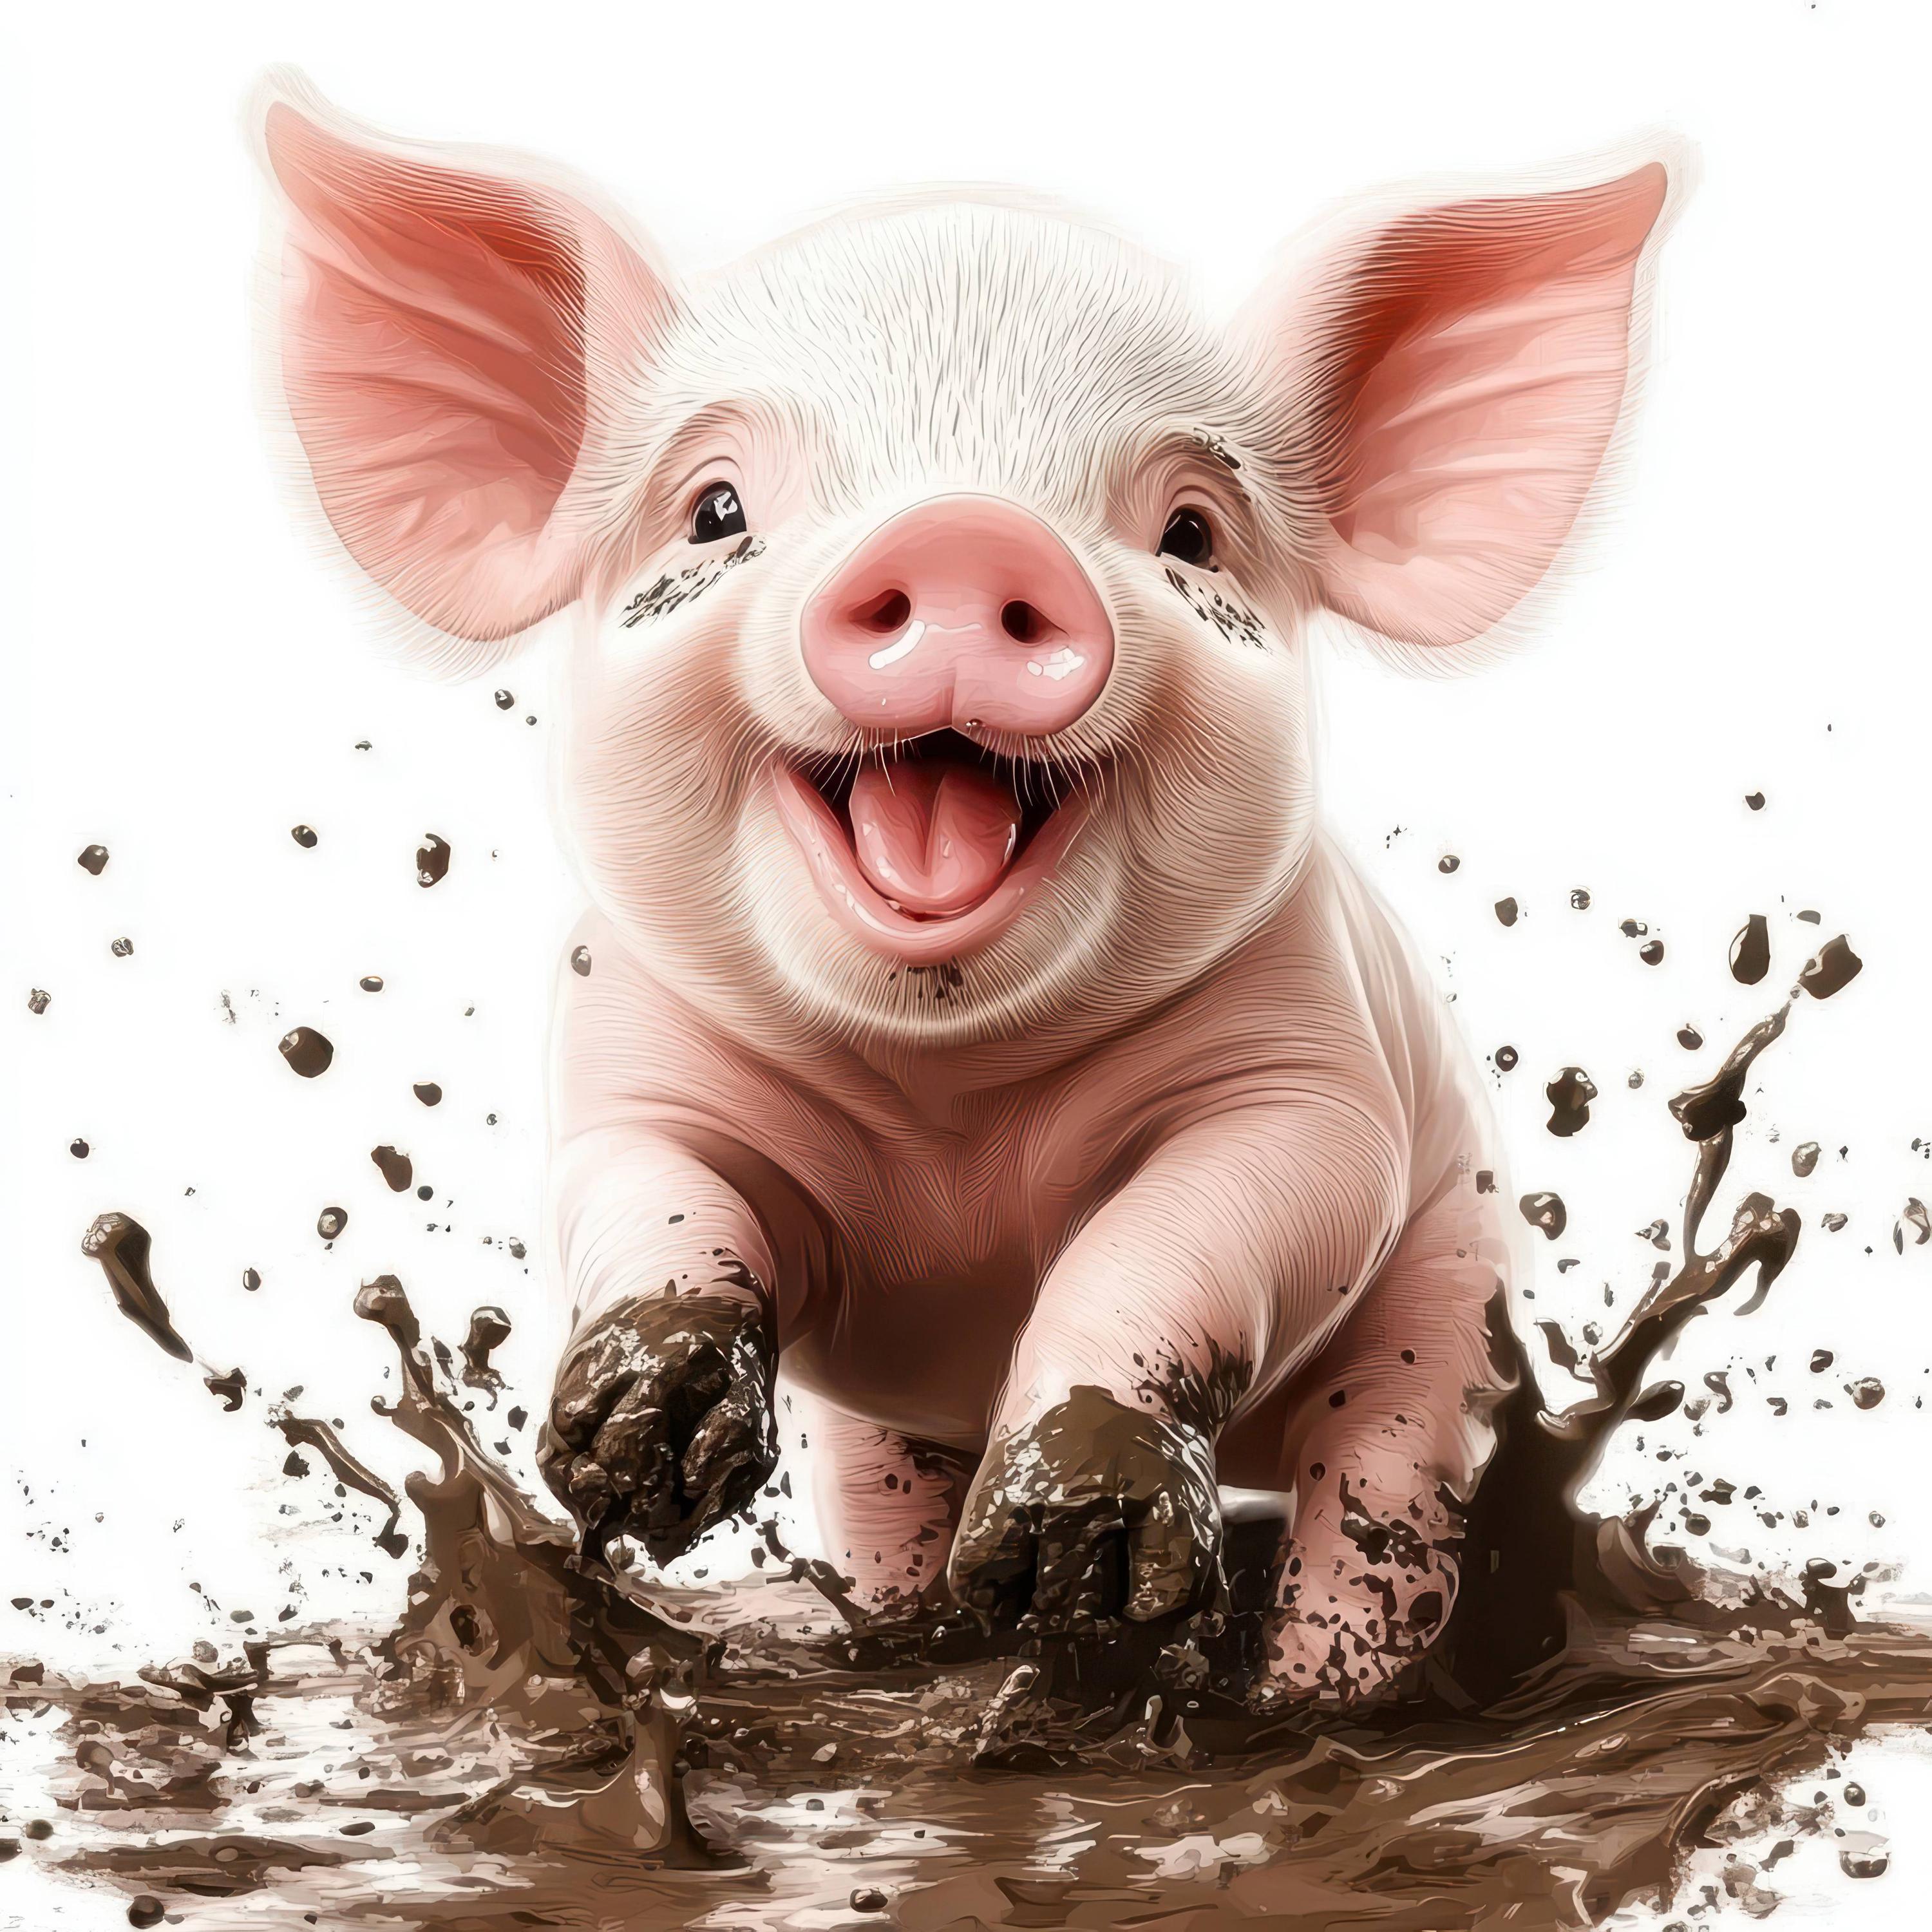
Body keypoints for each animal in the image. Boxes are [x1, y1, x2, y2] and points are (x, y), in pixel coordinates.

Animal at [254, 74, 1674, 1705]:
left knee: (1375, 1500)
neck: (950, 1121)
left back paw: (1310, 1703)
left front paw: (1080, 1580)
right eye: (715, 508)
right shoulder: (628, 1064)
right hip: (875, 1442)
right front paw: (622, 1466)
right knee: (886, 1517)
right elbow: (651, 1191)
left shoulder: (1316, 1083)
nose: (960, 531)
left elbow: (1198, 1222)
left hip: (1450, 1302)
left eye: (1190, 533)